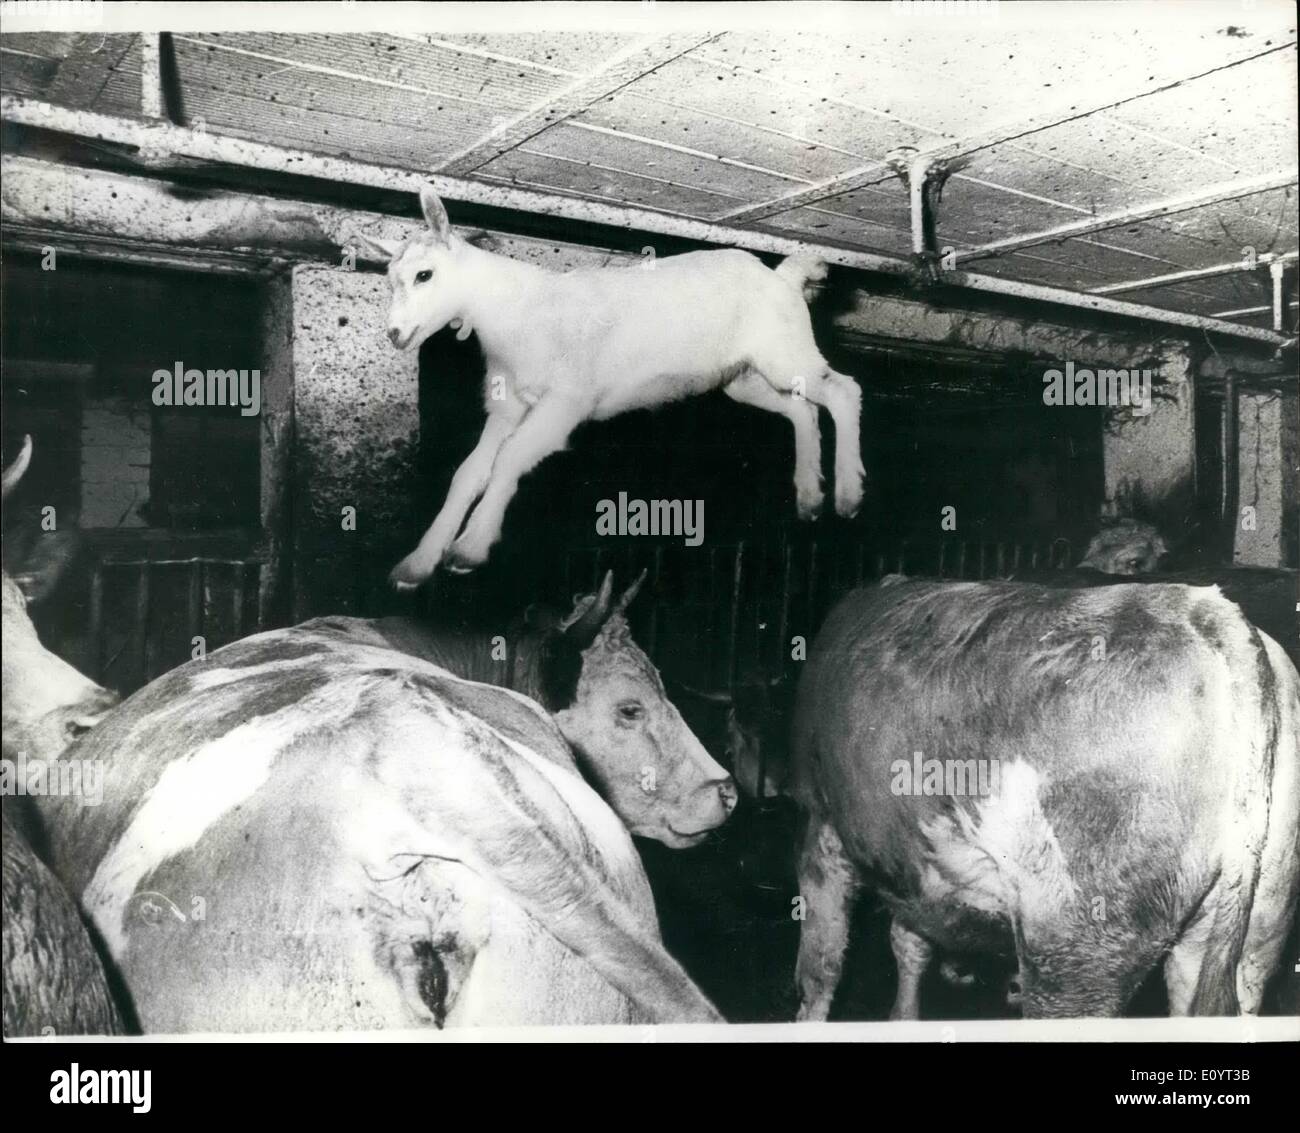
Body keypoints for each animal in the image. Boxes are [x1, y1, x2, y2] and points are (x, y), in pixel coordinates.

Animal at [790, 577, 1299, 1019]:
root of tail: (1211, 613)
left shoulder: (824, 824)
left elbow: (821, 962)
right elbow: (909, 941)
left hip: (1076, 944)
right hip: (1256, 926)